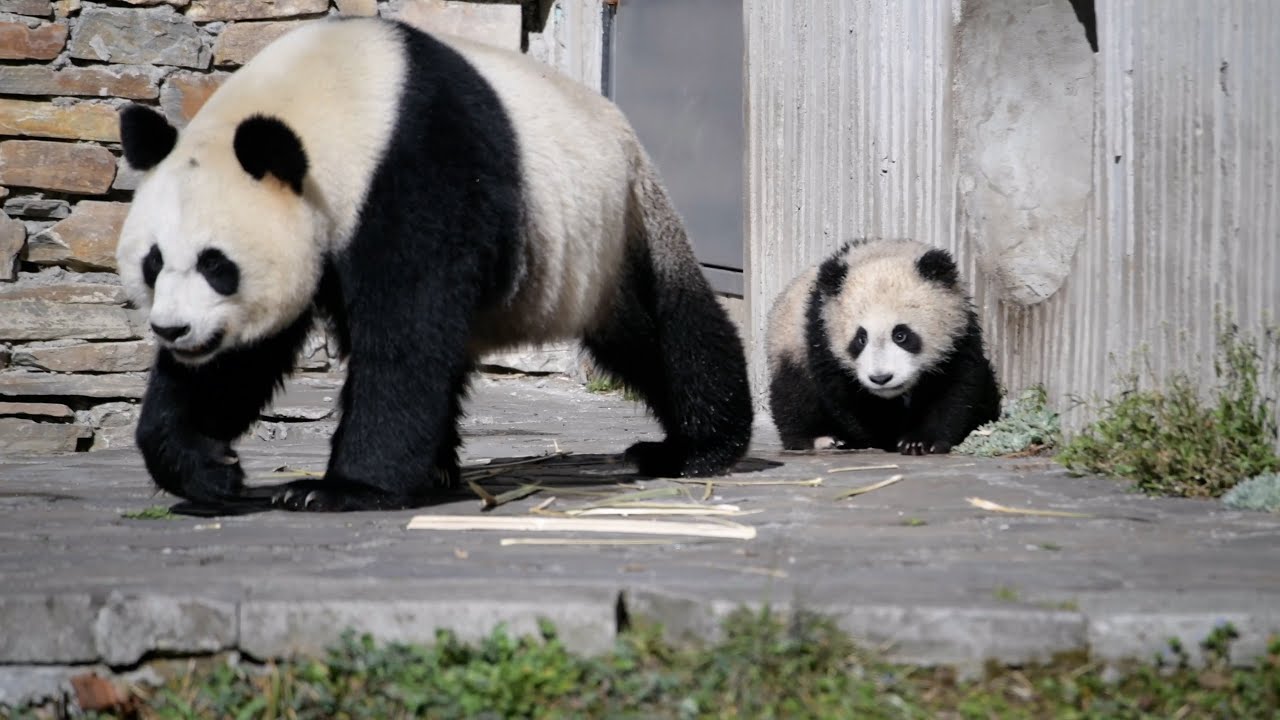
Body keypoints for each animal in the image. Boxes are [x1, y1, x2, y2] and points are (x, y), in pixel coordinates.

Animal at [115, 17, 753, 513]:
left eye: (216, 265)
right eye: (153, 262)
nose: (173, 330)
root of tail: (621, 125)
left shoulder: (417, 166)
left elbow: (406, 331)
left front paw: (341, 489)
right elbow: (244, 355)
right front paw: (207, 465)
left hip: (612, 228)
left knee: (663, 331)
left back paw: (697, 447)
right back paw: (439, 466)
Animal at [765, 238, 1000, 455]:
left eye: (901, 335)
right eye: (860, 339)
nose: (881, 378)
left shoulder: (958, 334)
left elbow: (954, 387)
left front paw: (920, 442)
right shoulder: (822, 334)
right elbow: (849, 399)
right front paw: (886, 436)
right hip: (790, 345)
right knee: (793, 396)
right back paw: (819, 439)